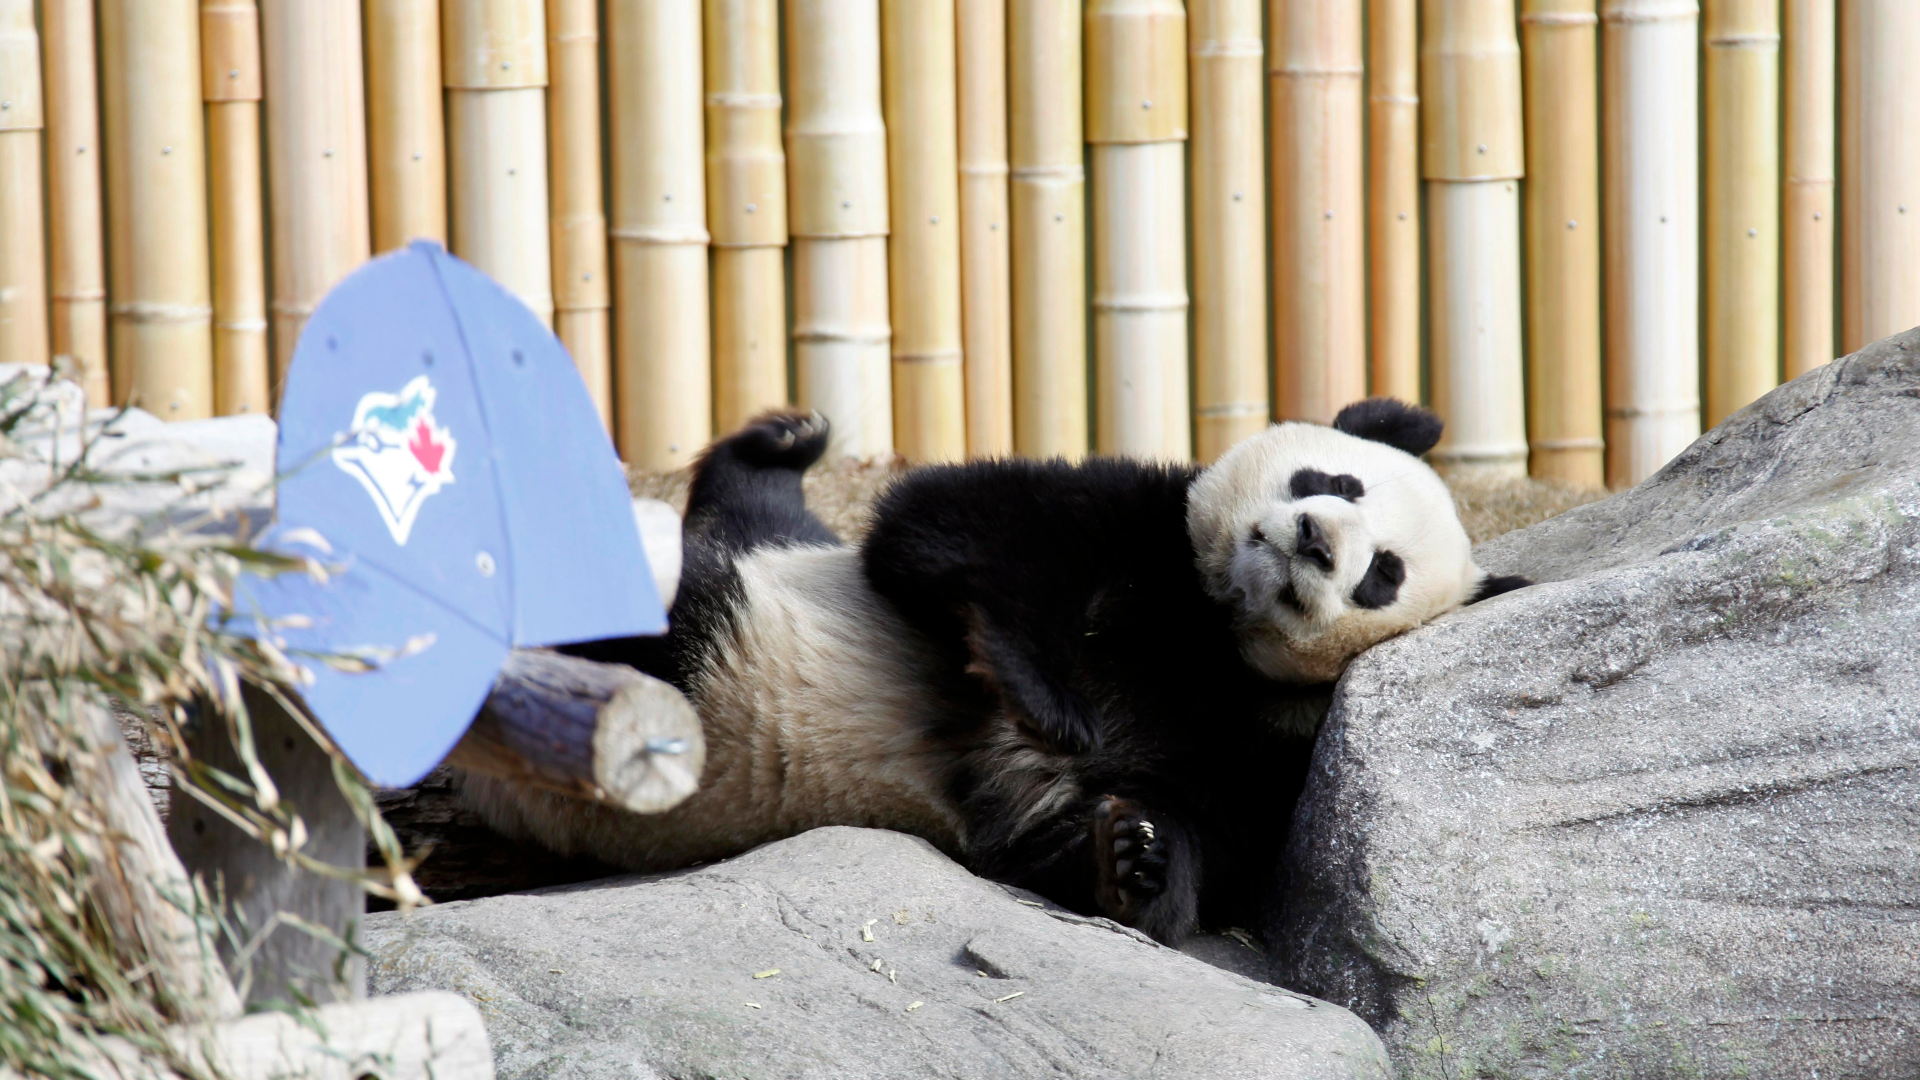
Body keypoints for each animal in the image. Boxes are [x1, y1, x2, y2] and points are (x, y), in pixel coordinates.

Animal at [462, 399, 1529, 946]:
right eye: (1333, 480)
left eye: (1383, 573)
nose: (1312, 539)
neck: (1215, 632)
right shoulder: (1136, 516)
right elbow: (949, 528)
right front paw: (1048, 698)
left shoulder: (1259, 745)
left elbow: (1096, 842)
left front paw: (1139, 860)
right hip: (710, 627)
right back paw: (786, 439)